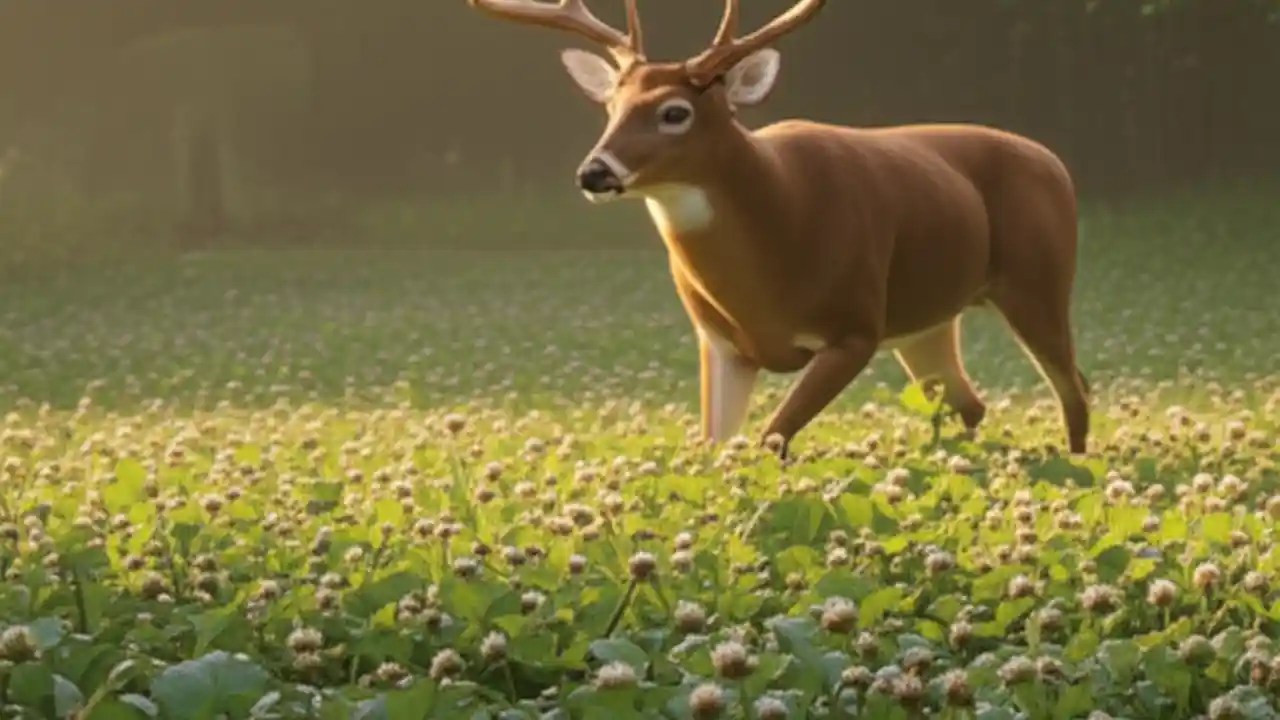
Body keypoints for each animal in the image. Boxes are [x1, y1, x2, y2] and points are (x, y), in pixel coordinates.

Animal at [466, 0, 1091, 459]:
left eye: (675, 112)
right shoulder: (718, 340)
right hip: (927, 321)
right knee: (972, 402)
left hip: (1039, 279)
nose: (594, 172)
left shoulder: (856, 323)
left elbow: (771, 438)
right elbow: (714, 449)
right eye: (610, 107)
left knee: (1074, 388)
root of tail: (1055, 162)